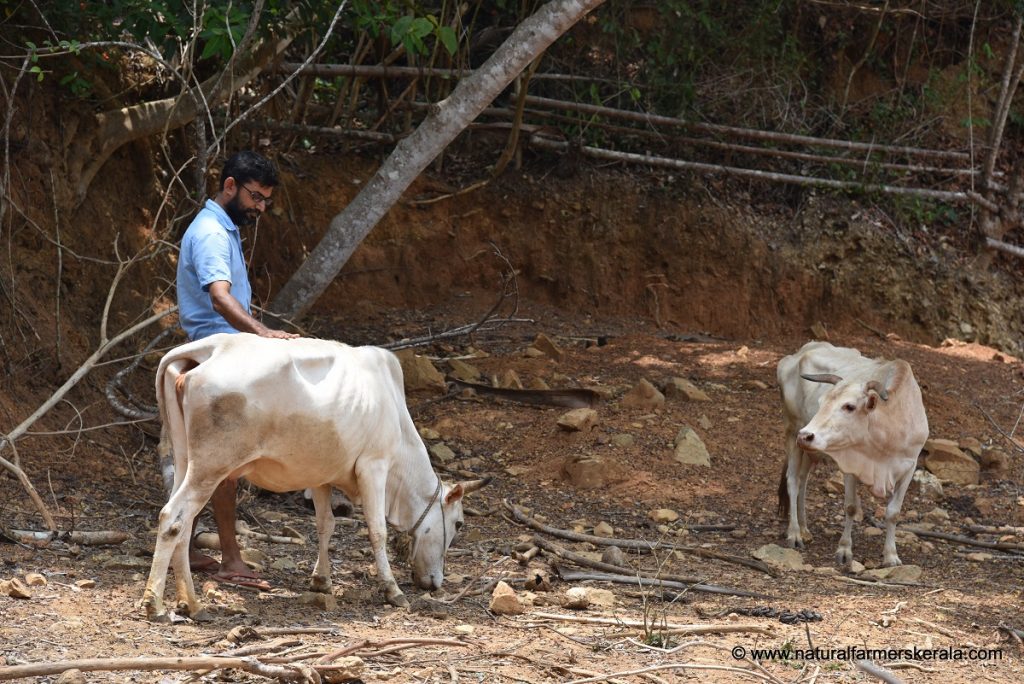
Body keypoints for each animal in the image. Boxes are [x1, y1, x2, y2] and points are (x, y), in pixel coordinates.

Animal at [142, 333, 489, 622]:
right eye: (458, 523)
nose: (435, 582)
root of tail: (209, 348)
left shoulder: (321, 476)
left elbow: (326, 524)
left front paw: (321, 580)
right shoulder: (374, 466)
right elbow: (377, 530)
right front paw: (393, 590)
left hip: (185, 460)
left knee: (184, 524)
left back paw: (191, 604)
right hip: (211, 466)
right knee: (172, 517)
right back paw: (154, 604)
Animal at [777, 341, 928, 568]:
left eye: (849, 406)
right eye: (821, 402)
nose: (806, 435)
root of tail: (802, 351)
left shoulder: (909, 467)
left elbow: (893, 513)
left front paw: (891, 555)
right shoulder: (850, 465)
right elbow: (850, 507)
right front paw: (844, 550)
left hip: (809, 451)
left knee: (803, 480)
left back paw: (804, 529)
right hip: (792, 429)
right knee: (793, 481)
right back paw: (794, 533)